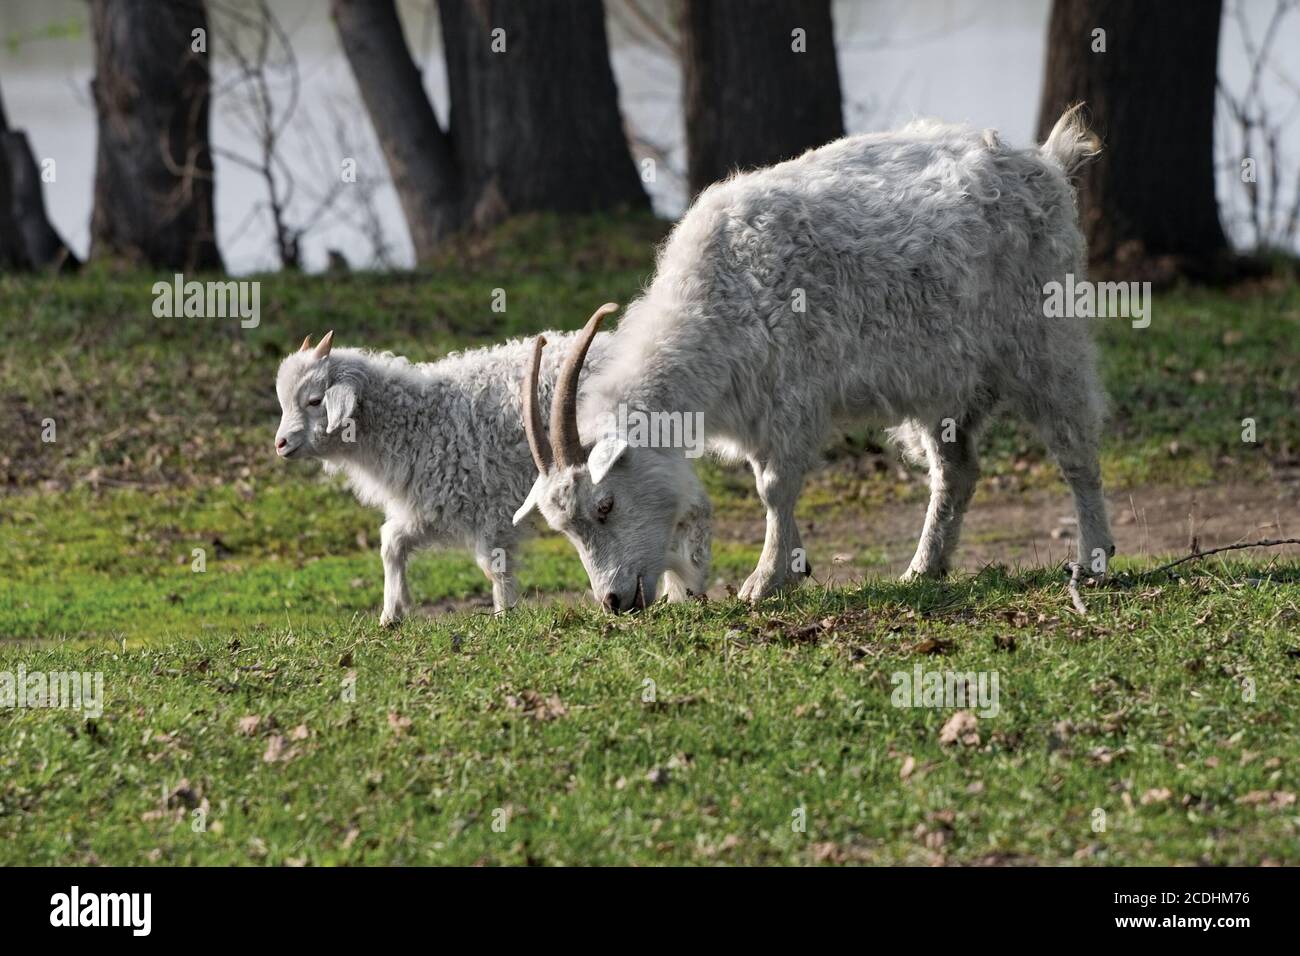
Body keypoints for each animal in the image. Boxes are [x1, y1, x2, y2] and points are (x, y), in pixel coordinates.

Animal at [274, 330, 711, 623]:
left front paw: (504, 615)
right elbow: (391, 543)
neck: (419, 421)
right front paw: (392, 614)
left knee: (691, 508)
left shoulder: (487, 504)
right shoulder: (433, 504)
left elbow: (494, 566)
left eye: (314, 400)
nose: (280, 443)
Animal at [514, 107, 1114, 611]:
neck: (716, 297)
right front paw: (790, 568)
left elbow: (774, 487)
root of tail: (1046, 162)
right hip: (941, 379)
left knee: (1076, 446)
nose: (614, 602)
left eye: (606, 505)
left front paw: (762, 581)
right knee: (957, 470)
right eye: (565, 529)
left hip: (1045, 338)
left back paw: (1094, 559)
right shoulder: (755, 410)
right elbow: (768, 485)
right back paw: (923, 569)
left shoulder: (792, 396)